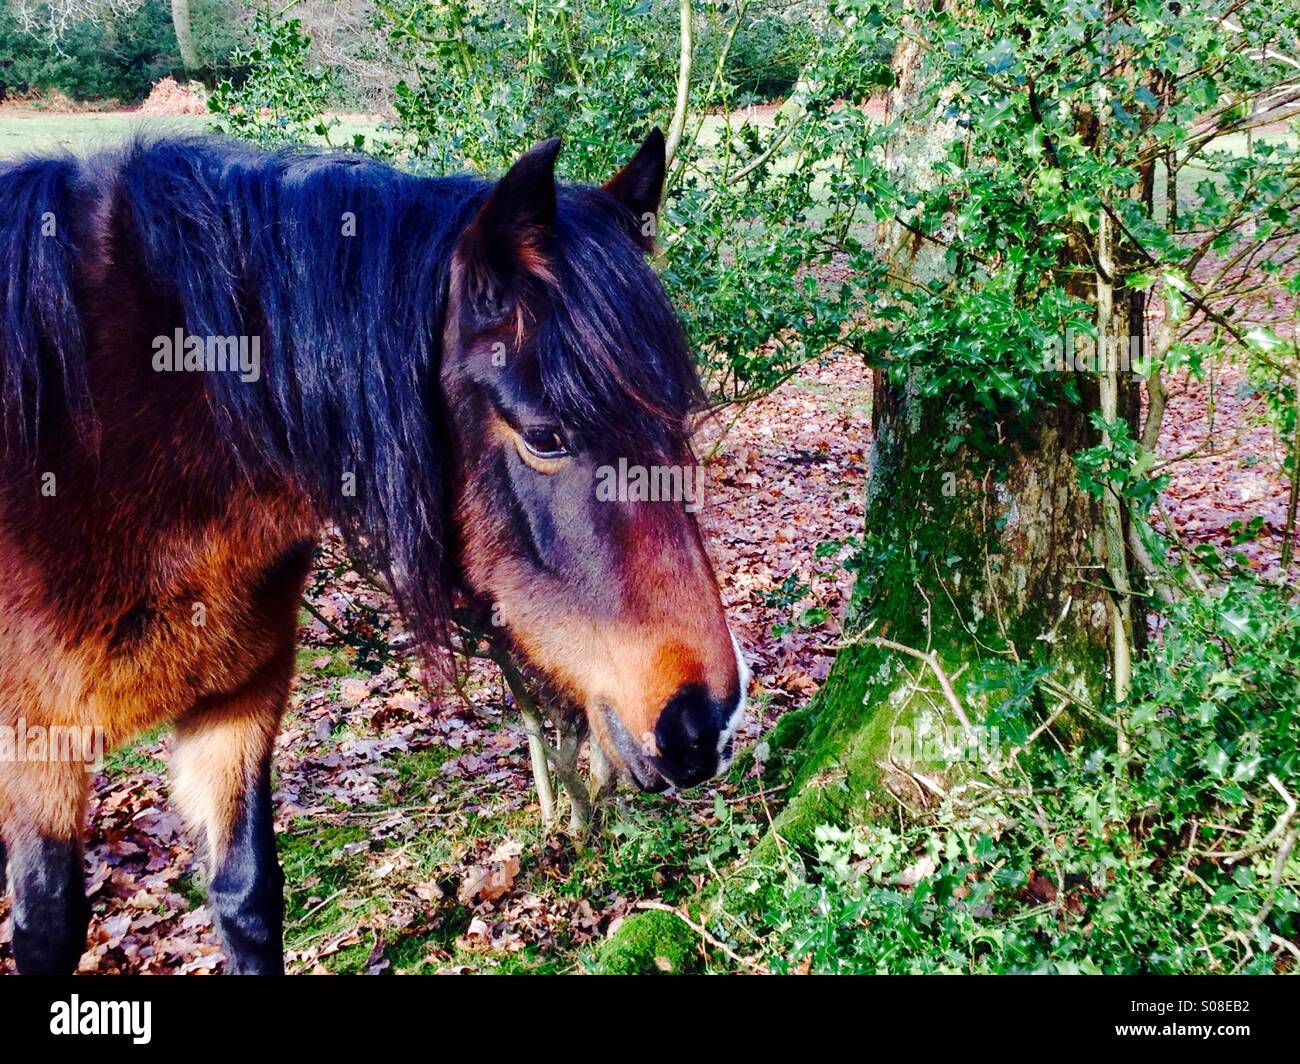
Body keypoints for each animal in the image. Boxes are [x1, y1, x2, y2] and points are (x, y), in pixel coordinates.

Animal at [0, 128, 747, 974]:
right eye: (546, 436)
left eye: (677, 420)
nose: (704, 722)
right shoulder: (35, 743)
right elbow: (47, 924)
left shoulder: (238, 702)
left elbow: (246, 896)